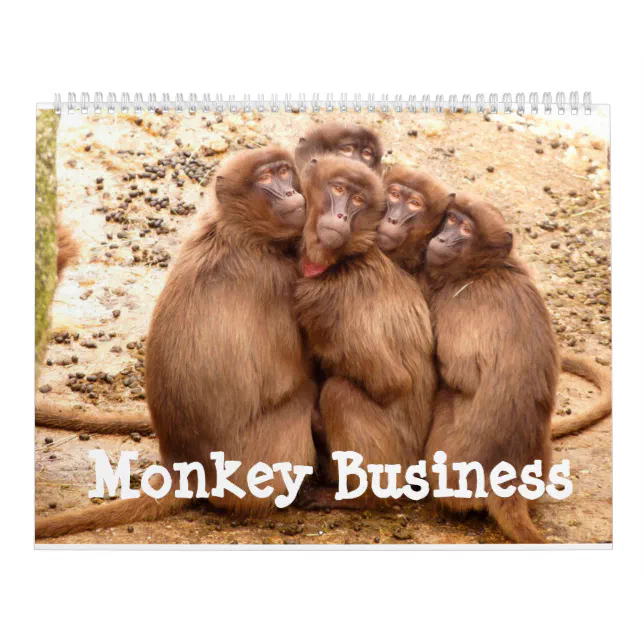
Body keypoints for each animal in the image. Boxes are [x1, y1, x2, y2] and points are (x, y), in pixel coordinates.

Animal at [35, 146, 317, 539]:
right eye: (266, 178)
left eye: (284, 172)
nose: (291, 192)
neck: (237, 233)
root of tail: (186, 467)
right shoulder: (280, 278)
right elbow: (293, 377)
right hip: (260, 466)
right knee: (304, 400)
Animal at [292, 155, 437, 508]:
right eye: (338, 189)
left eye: (357, 200)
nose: (341, 215)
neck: (342, 260)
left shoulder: (330, 300)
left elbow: (390, 382)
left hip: (392, 464)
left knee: (340, 394)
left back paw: (356, 496)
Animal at [420, 192, 586, 543]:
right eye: (451, 219)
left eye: (466, 228)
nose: (441, 238)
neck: (486, 269)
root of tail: (510, 483)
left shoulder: (457, 303)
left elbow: (459, 374)